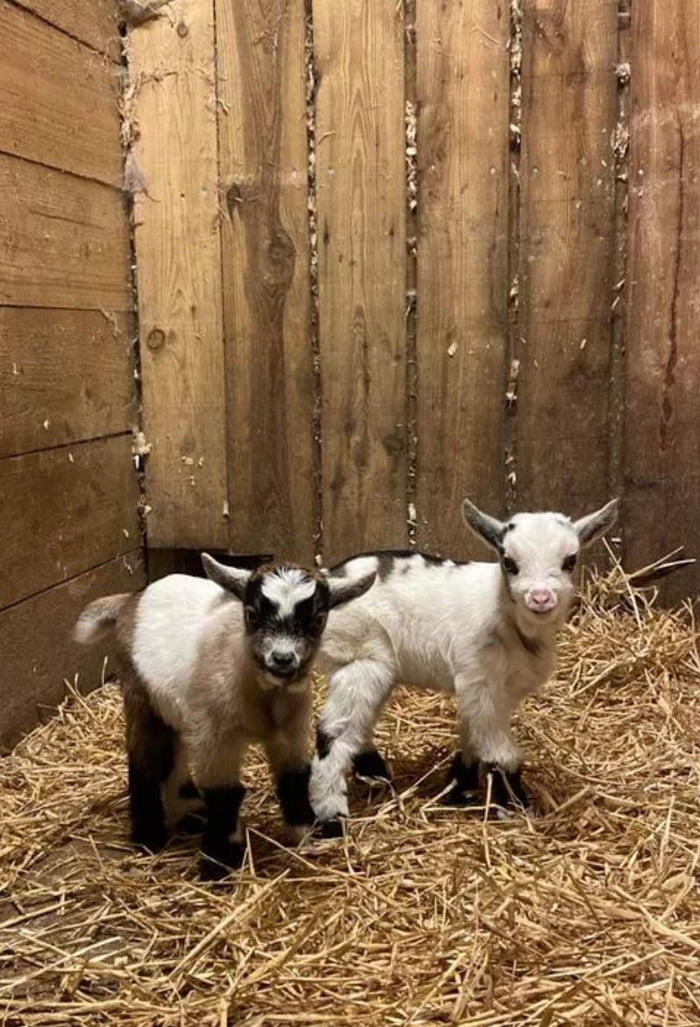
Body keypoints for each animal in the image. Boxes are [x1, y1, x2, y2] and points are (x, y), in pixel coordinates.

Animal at [74, 556, 376, 878]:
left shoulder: (290, 732)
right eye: (252, 614)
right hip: (141, 696)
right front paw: (219, 862)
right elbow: (225, 794)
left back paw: (189, 811)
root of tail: (130, 600)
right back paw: (149, 837)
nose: (282, 659)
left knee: (176, 752)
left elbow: (294, 779)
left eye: (318, 619)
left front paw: (305, 833)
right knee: (146, 758)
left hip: (177, 711)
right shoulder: (216, 736)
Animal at [310, 497, 619, 833]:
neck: (508, 618)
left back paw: (378, 779)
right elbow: (499, 750)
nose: (540, 598)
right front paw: (515, 807)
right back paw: (330, 819)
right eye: (508, 562)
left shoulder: (491, 688)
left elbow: (472, 736)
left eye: (570, 561)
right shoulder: (480, 678)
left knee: (358, 727)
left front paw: (460, 789)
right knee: (334, 732)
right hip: (362, 658)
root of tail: (328, 584)